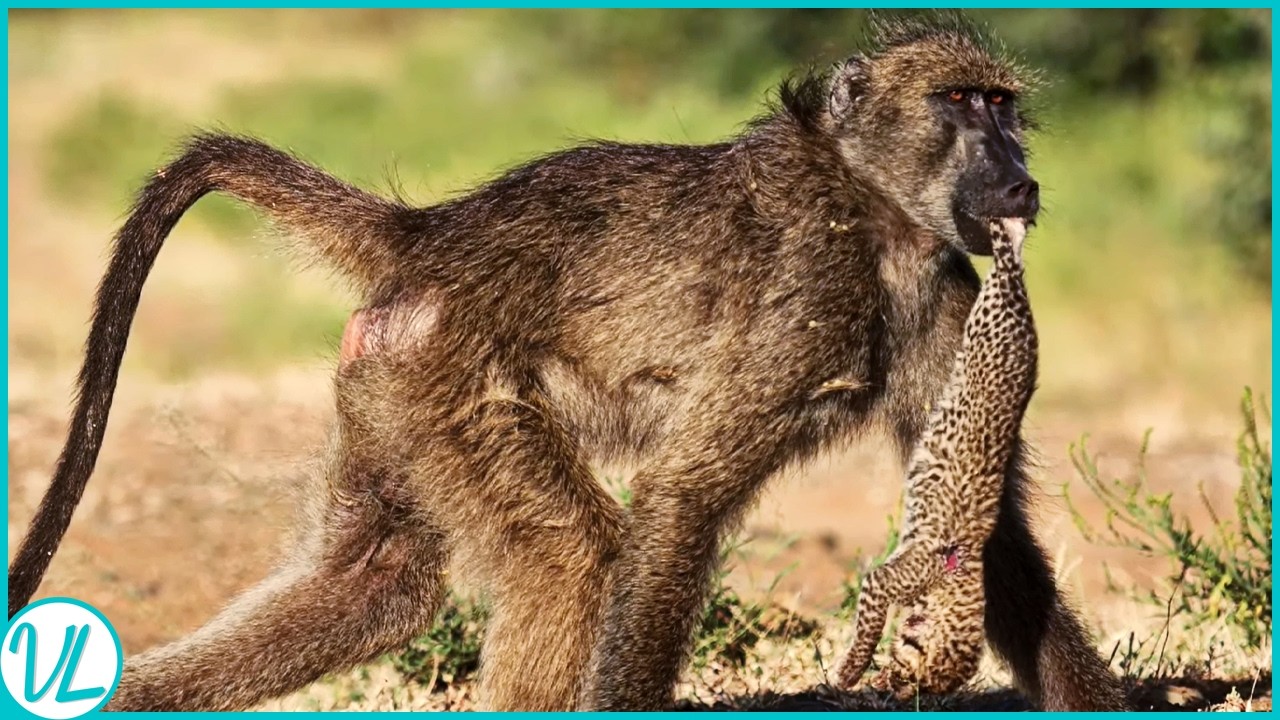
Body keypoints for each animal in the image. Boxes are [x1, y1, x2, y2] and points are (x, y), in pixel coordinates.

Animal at [834, 216, 1038, 697]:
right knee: (1005, 268)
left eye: (920, 682)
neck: (959, 577)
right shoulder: (885, 579)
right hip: (988, 320)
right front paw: (850, 669)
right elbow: (868, 626)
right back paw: (1006, 229)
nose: (897, 687)